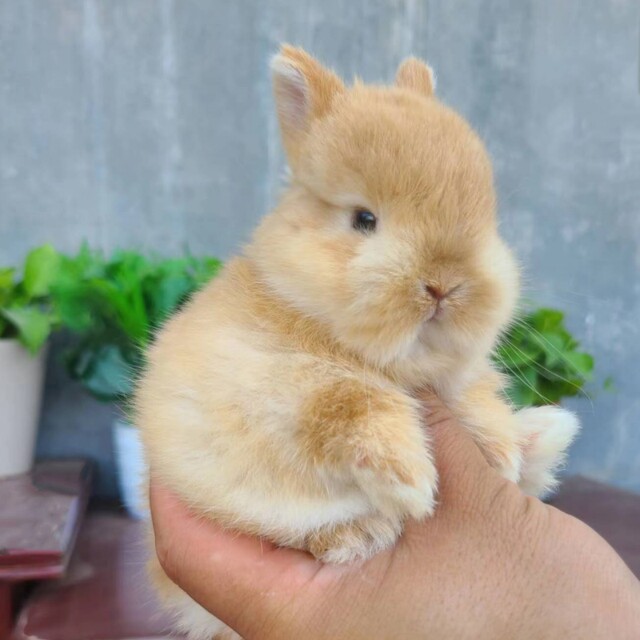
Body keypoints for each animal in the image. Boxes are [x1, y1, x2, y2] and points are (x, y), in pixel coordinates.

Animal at [136, 45, 580, 640]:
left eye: (484, 220)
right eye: (364, 219)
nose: (445, 284)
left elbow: (473, 394)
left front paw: (500, 452)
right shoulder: (251, 389)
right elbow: (342, 399)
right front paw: (410, 479)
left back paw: (544, 435)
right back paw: (360, 535)